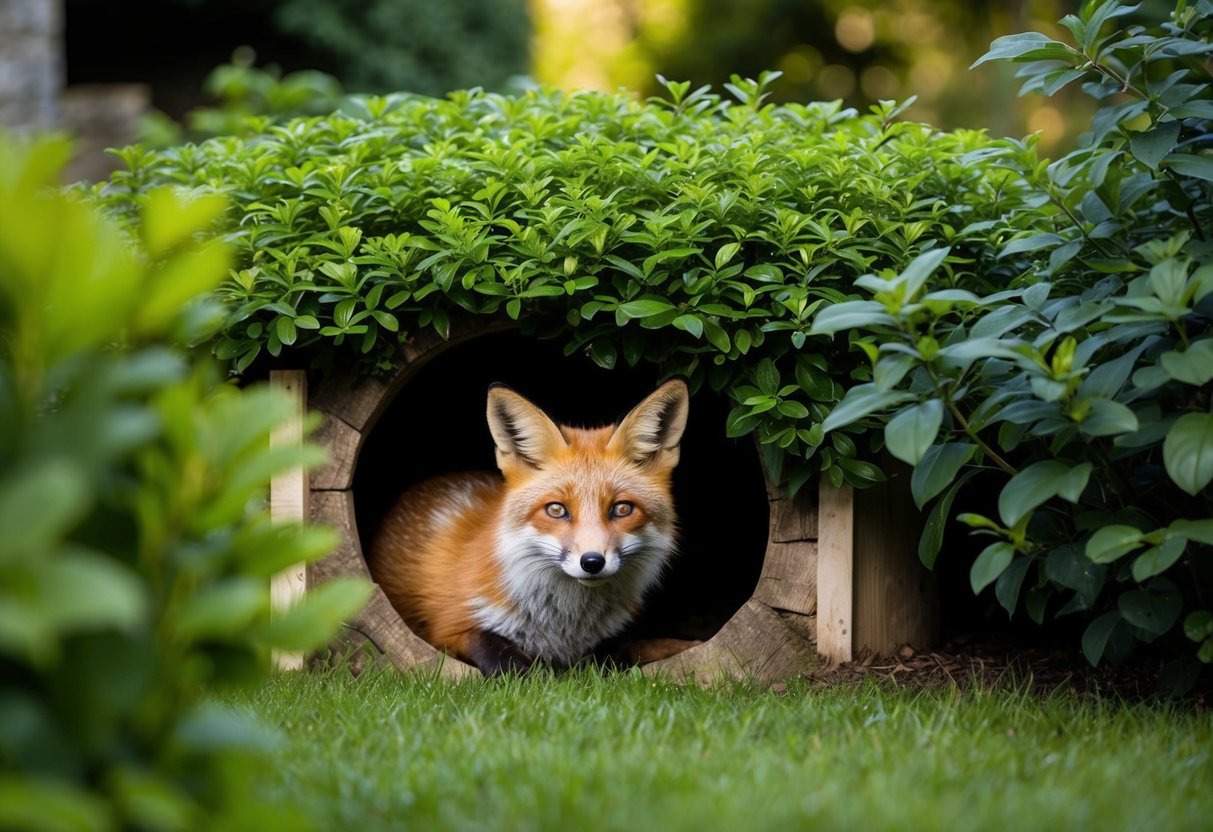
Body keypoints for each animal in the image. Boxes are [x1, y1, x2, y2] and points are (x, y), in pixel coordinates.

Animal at [368, 379, 689, 676]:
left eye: (622, 509)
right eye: (556, 509)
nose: (592, 562)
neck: (563, 629)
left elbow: (617, 653)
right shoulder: (449, 627)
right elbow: (498, 652)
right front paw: (534, 675)